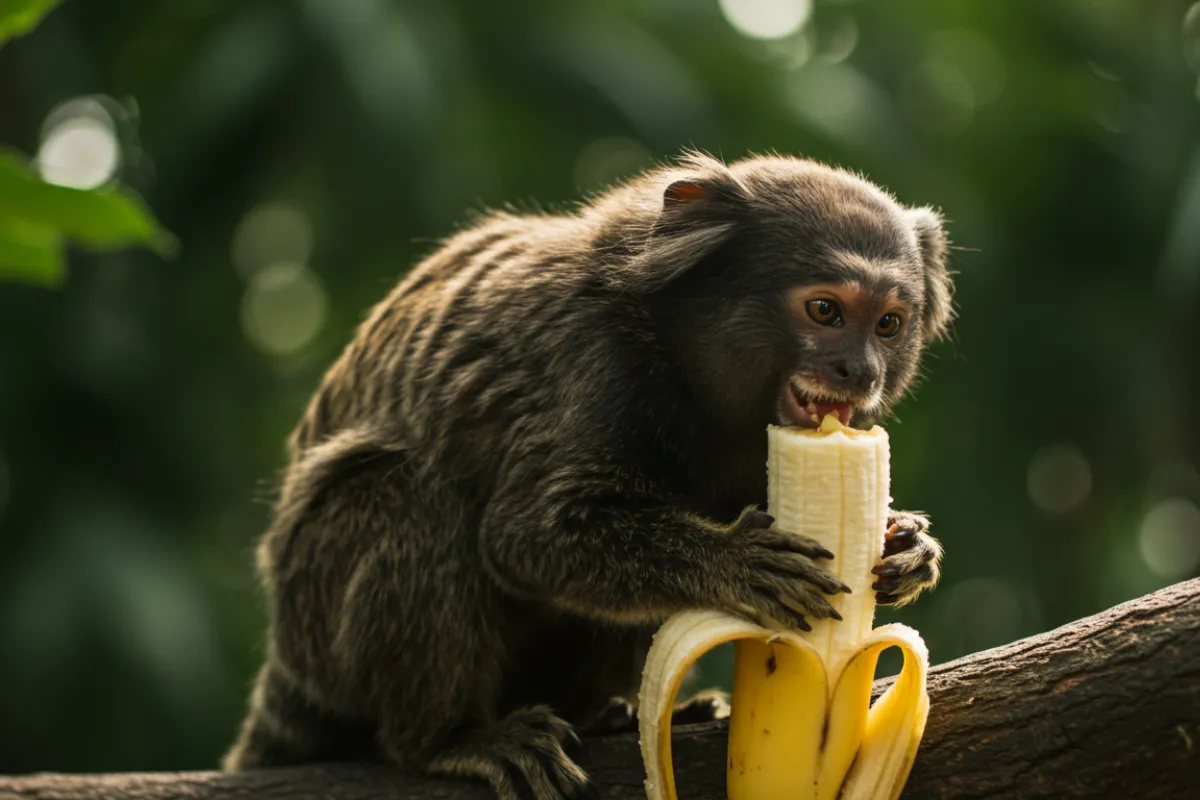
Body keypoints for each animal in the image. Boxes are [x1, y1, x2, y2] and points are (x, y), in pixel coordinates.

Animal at [222, 151, 951, 800]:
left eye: (889, 324)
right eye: (826, 311)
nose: (860, 371)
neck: (678, 350)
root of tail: (287, 658)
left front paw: (905, 545)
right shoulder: (591, 361)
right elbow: (527, 535)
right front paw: (733, 562)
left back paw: (611, 714)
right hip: (319, 616)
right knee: (405, 498)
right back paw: (448, 739)